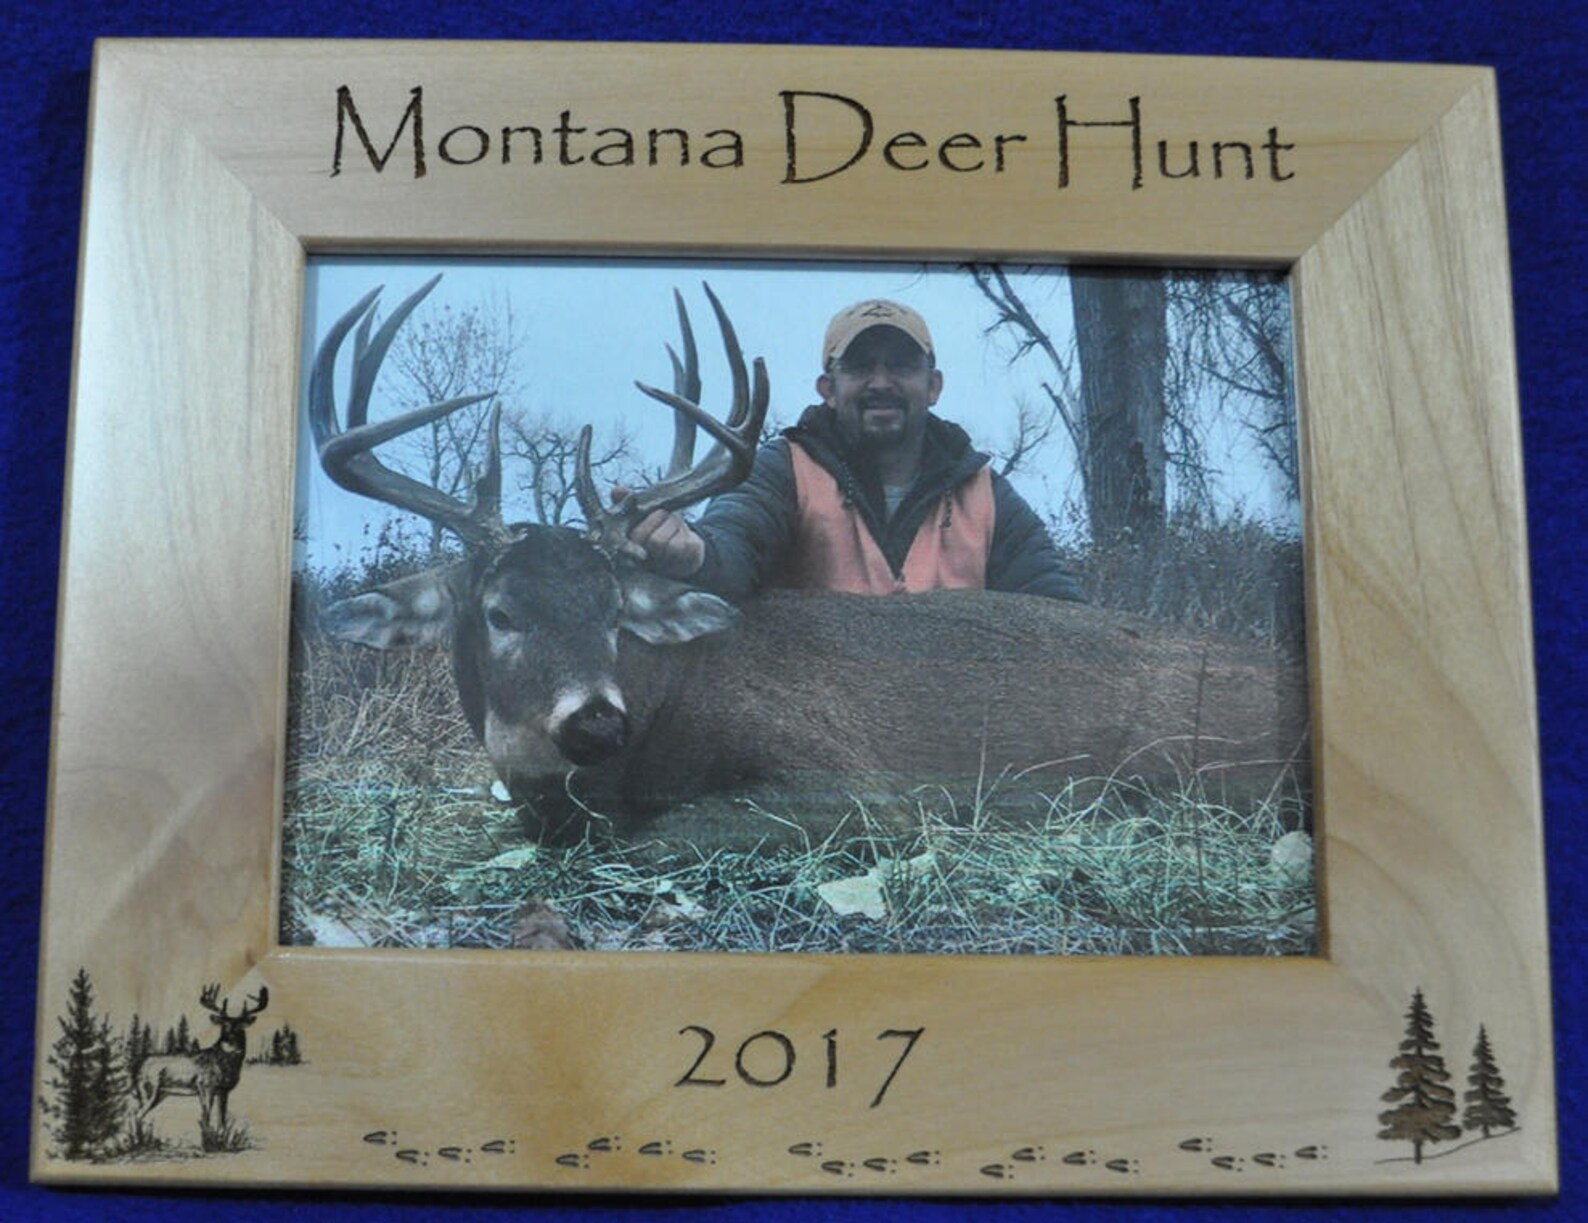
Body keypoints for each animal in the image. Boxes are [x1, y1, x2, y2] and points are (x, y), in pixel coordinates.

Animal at [134, 984, 269, 1134]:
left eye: (240, 1026)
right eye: (224, 1025)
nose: (228, 1038)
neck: (224, 1064)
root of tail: (140, 1066)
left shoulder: (224, 1090)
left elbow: (222, 1119)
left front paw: (221, 1135)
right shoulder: (206, 1085)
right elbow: (206, 1117)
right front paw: (207, 1137)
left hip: (160, 1093)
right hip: (150, 1088)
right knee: (137, 1114)